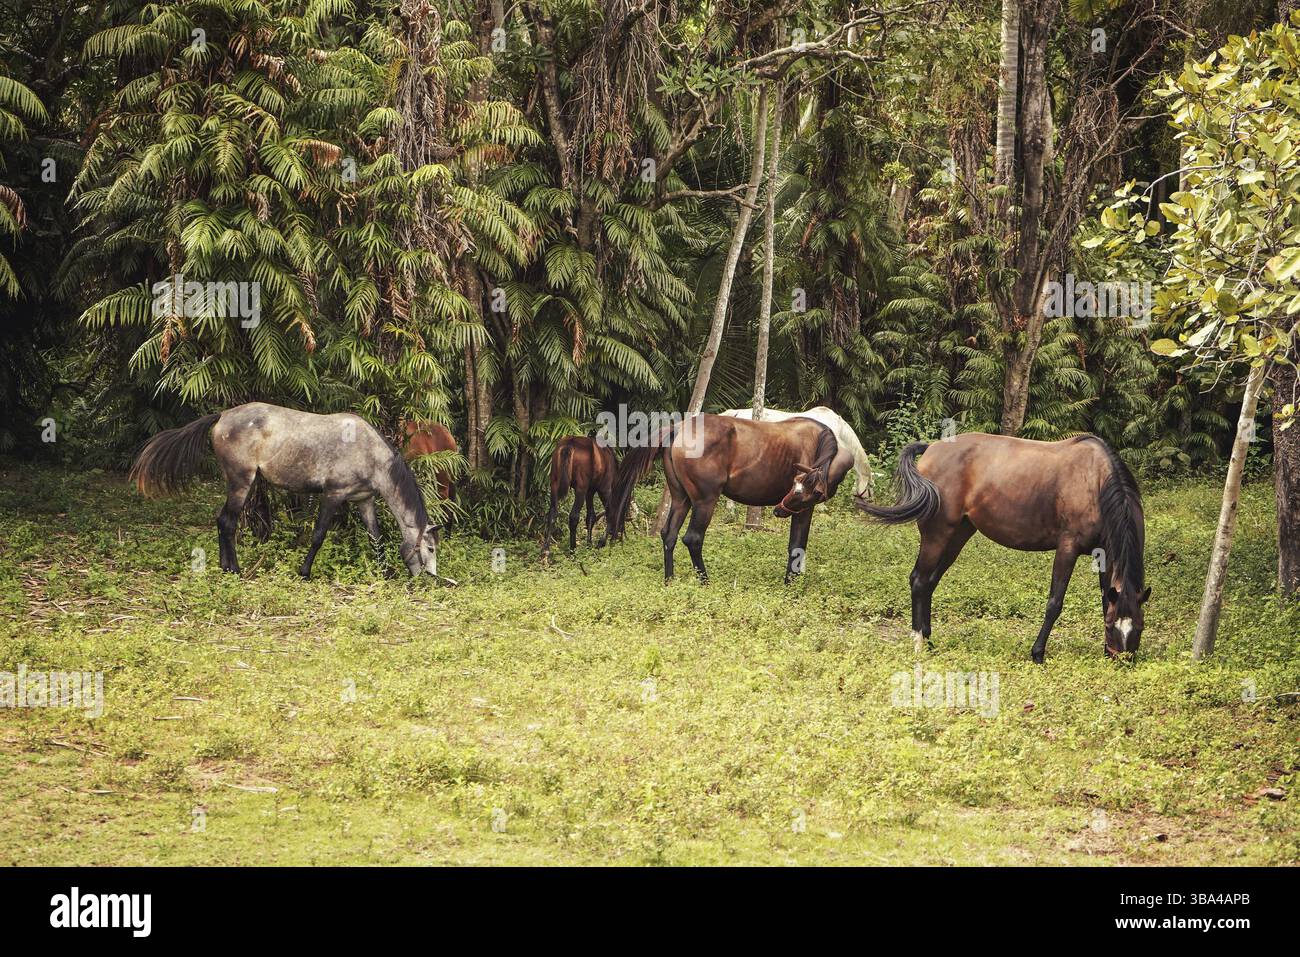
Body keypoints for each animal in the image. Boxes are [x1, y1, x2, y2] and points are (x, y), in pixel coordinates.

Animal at [129, 402, 440, 579]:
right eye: (430, 548)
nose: (429, 580)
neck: (368, 451)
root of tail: (223, 416)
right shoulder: (333, 495)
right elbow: (318, 536)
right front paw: (304, 573)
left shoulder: (364, 501)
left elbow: (376, 537)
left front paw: (385, 573)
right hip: (241, 482)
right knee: (228, 522)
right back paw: (234, 570)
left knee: (222, 521)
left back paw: (225, 567)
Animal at [610, 413, 850, 583]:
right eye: (796, 485)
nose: (778, 510)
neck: (819, 441)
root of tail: (678, 429)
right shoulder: (803, 510)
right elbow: (797, 546)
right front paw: (791, 584)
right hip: (705, 502)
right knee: (692, 539)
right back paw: (705, 582)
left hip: (680, 499)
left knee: (669, 535)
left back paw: (670, 580)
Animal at [858, 432, 1150, 662]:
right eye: (1112, 627)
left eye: (1139, 627)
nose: (1120, 658)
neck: (1095, 482)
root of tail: (932, 448)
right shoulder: (1067, 548)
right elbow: (1054, 602)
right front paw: (1037, 653)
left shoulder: (1104, 553)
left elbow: (1104, 600)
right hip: (937, 534)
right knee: (919, 580)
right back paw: (919, 642)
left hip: (958, 535)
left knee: (929, 582)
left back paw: (929, 642)